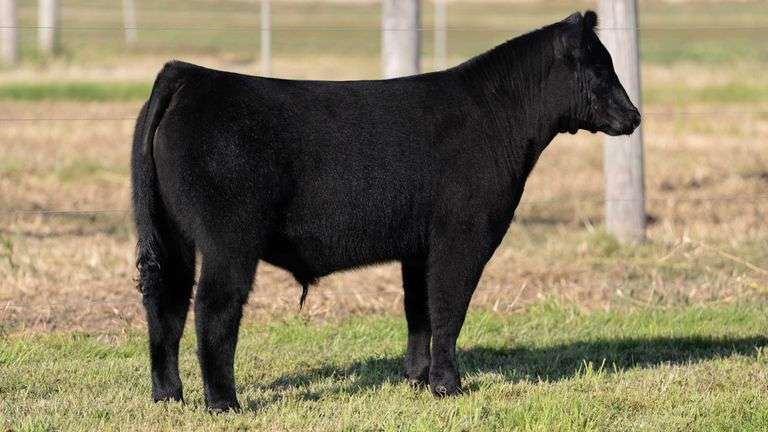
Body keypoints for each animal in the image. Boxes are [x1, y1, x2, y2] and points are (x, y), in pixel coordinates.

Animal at [132, 10, 640, 411]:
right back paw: (223, 403)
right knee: (213, 307)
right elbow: (449, 307)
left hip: (169, 235)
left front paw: (416, 379)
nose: (635, 116)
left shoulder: (417, 247)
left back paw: (168, 395)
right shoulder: (463, 234)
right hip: (229, 240)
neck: (497, 117)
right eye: (600, 67)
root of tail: (188, 74)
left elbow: (419, 310)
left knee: (165, 303)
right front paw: (448, 386)